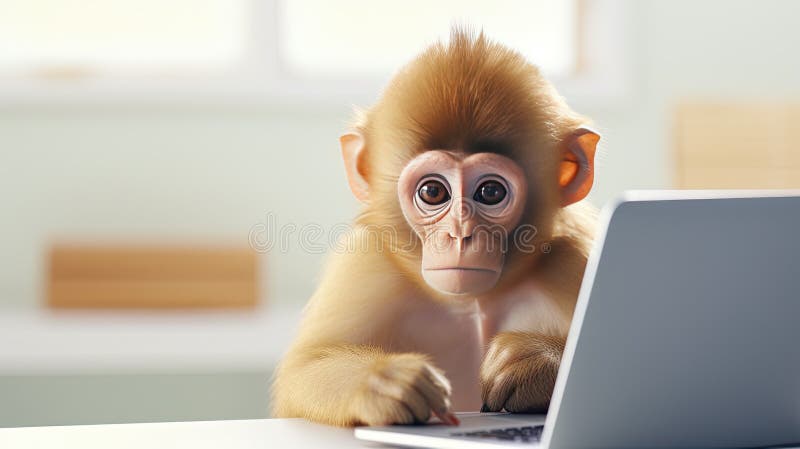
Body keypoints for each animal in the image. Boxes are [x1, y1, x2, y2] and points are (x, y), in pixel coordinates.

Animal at [271, 29, 600, 427]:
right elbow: (303, 370)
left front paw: (536, 360)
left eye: (491, 192)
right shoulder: (366, 266)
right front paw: (386, 382)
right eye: (433, 192)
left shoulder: (575, 258)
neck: (471, 302)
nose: (460, 234)